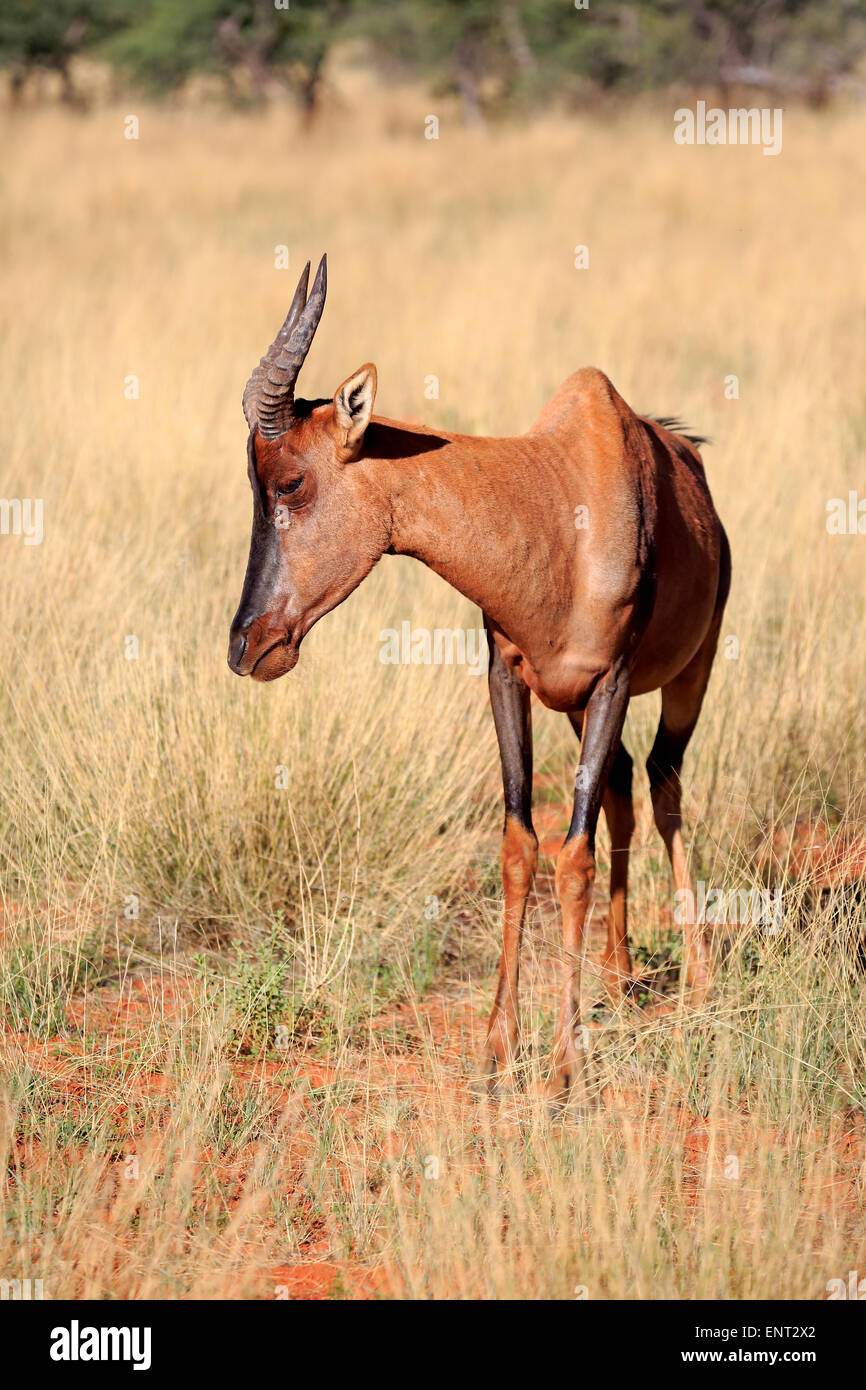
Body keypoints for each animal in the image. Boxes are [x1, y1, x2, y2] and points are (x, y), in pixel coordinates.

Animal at [228, 255, 731, 1101]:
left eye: (290, 482)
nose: (246, 644)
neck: (559, 499)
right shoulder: (507, 681)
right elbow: (520, 846)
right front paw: (499, 1051)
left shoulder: (614, 680)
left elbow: (572, 858)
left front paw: (562, 1070)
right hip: (574, 705)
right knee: (624, 784)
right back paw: (620, 973)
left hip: (690, 671)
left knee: (665, 782)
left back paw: (696, 979)